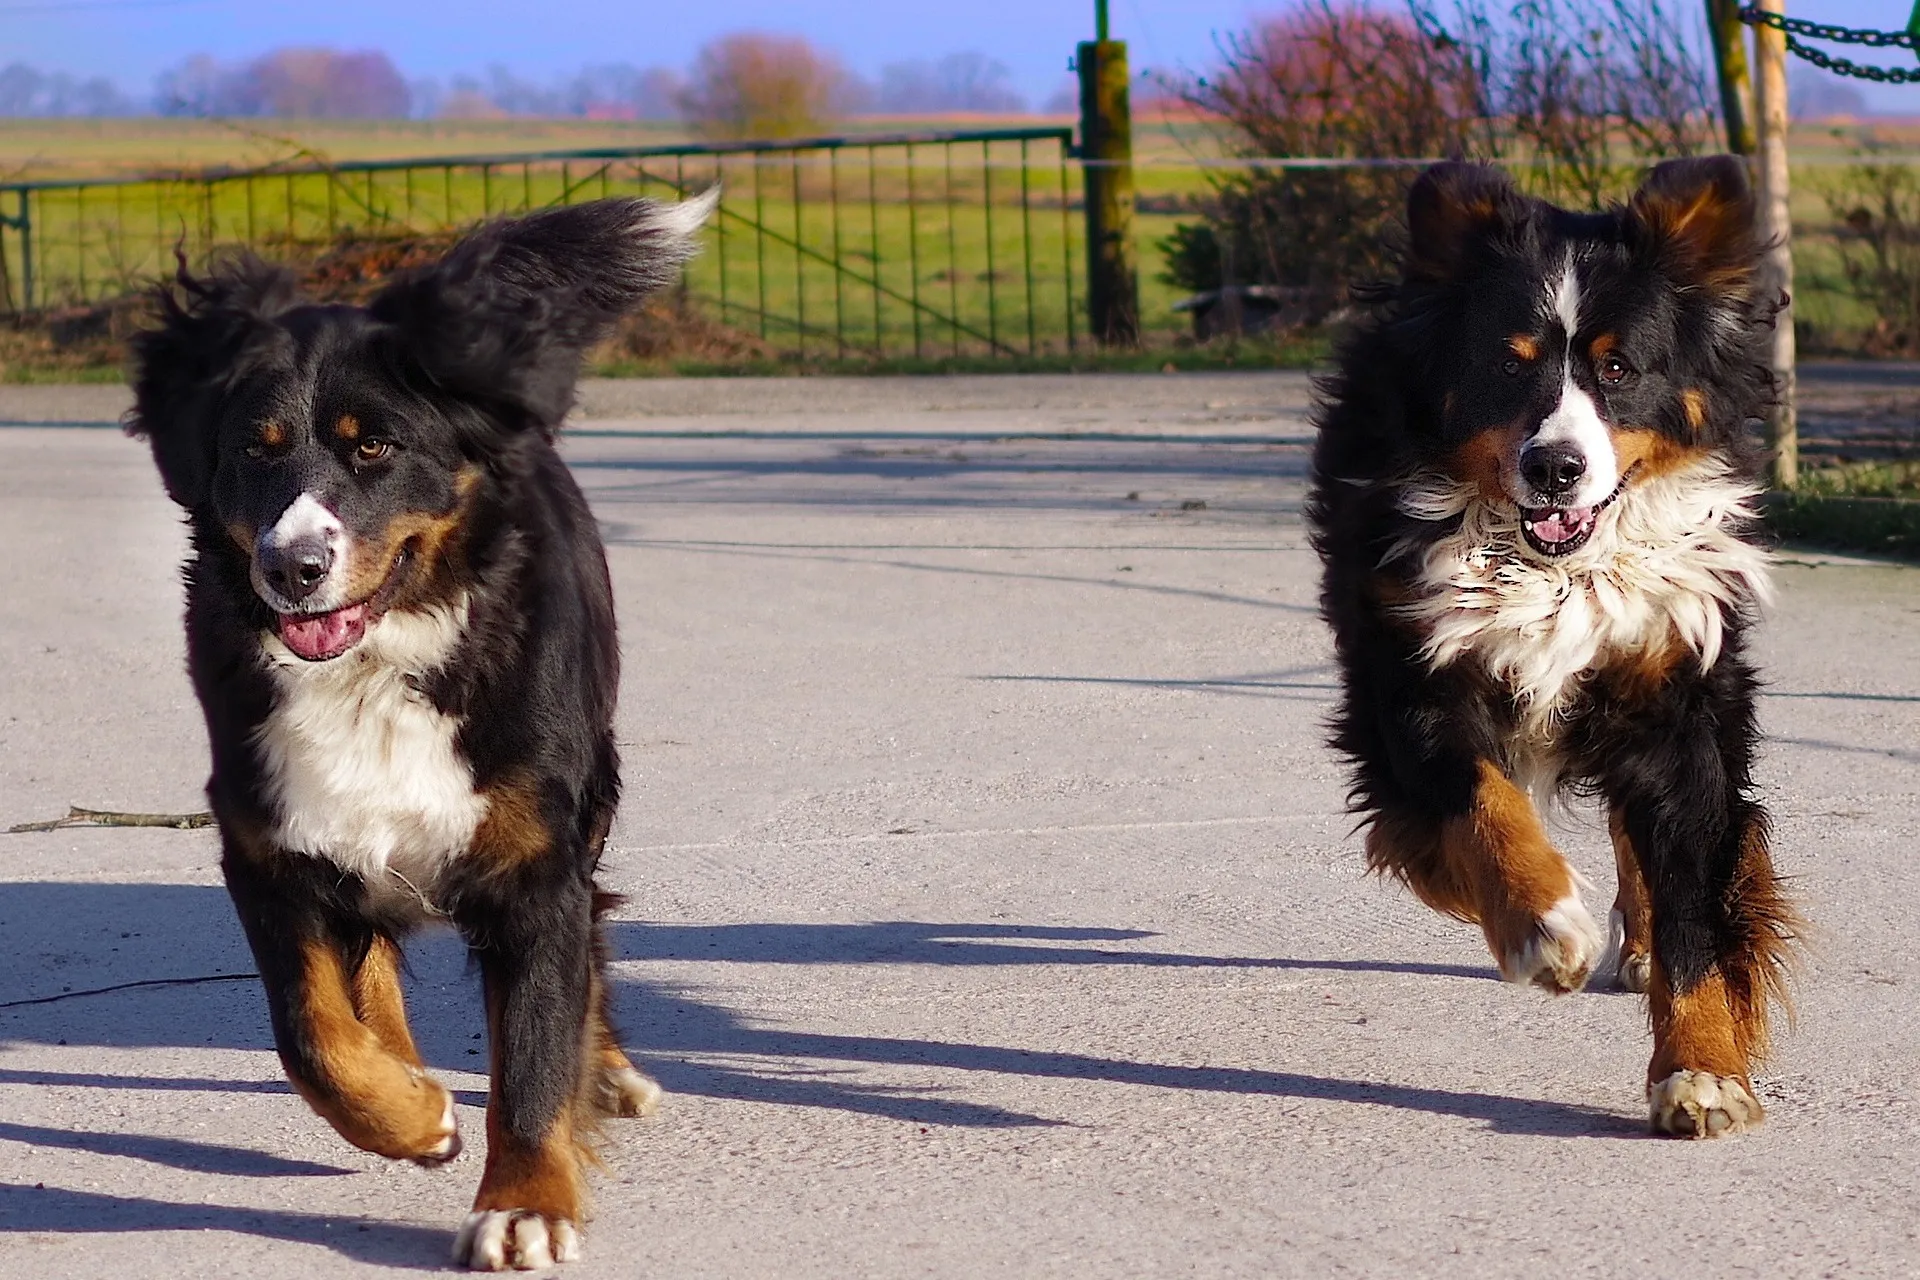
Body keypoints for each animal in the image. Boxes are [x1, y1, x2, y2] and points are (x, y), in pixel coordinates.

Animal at [1305, 160, 1797, 1143]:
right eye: (1507, 364)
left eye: (1619, 368)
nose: (1555, 467)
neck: (1553, 569)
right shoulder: (1409, 671)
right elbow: (1479, 802)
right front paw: (1542, 926)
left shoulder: (1674, 683)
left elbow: (1694, 889)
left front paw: (1701, 1073)